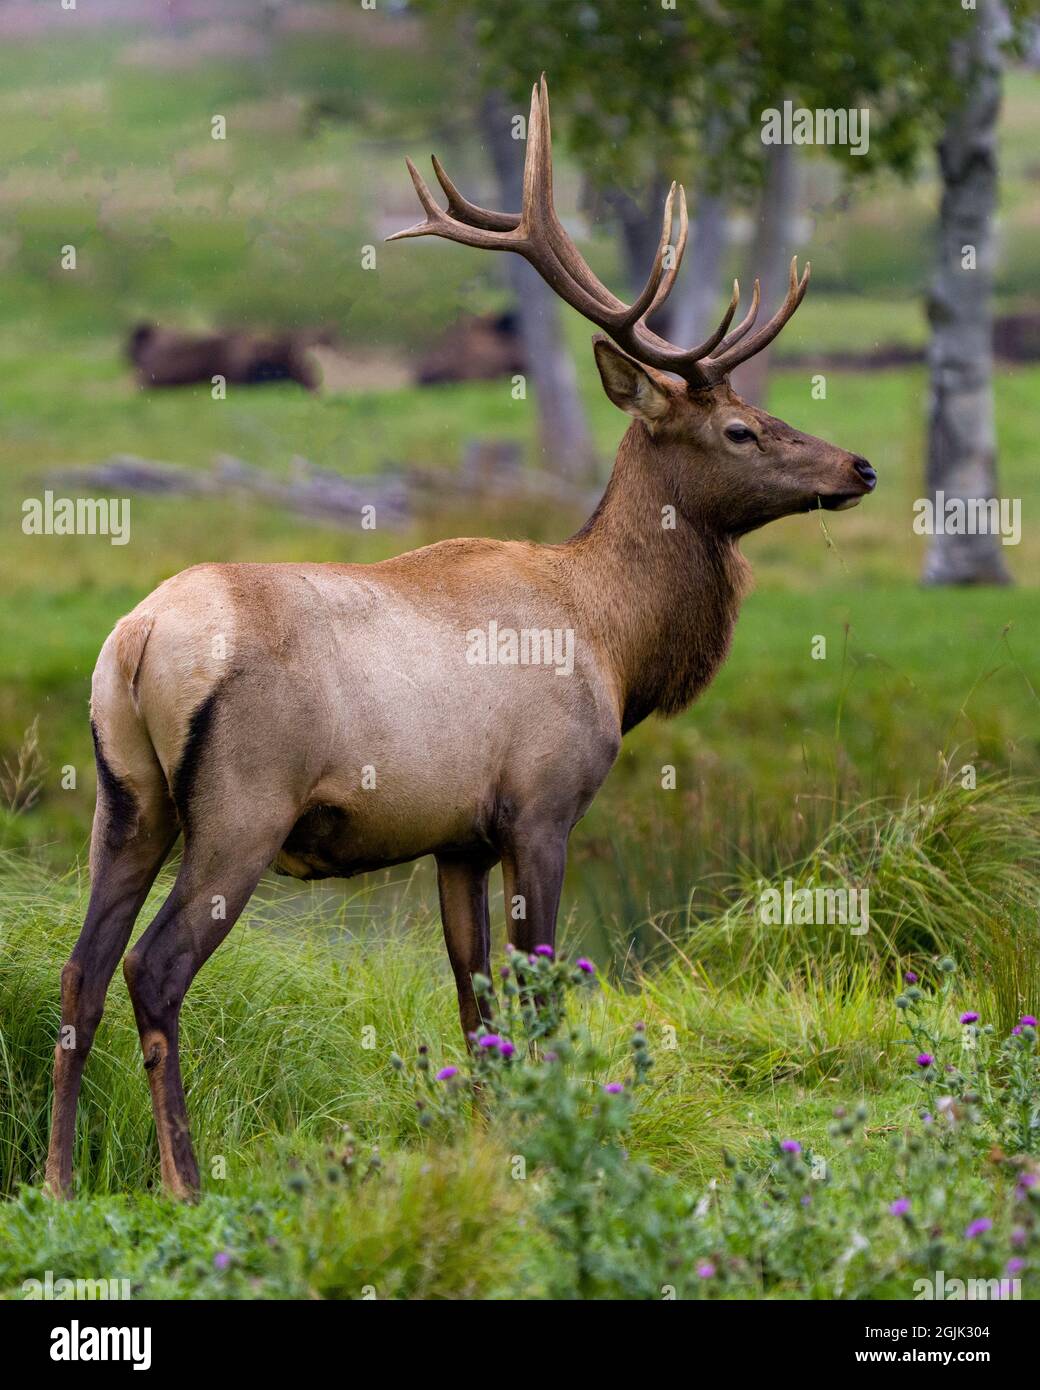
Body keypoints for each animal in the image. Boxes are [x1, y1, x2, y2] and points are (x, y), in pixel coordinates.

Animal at [45, 77, 875, 1200]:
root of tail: (136, 641)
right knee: (153, 966)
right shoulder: (542, 804)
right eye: (740, 429)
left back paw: (54, 1179)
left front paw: (489, 1141)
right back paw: (183, 1177)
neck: (614, 644)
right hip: (240, 806)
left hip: (124, 795)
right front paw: (551, 1143)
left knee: (80, 966)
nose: (858, 465)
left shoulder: (455, 838)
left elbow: (472, 997)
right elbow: (540, 993)